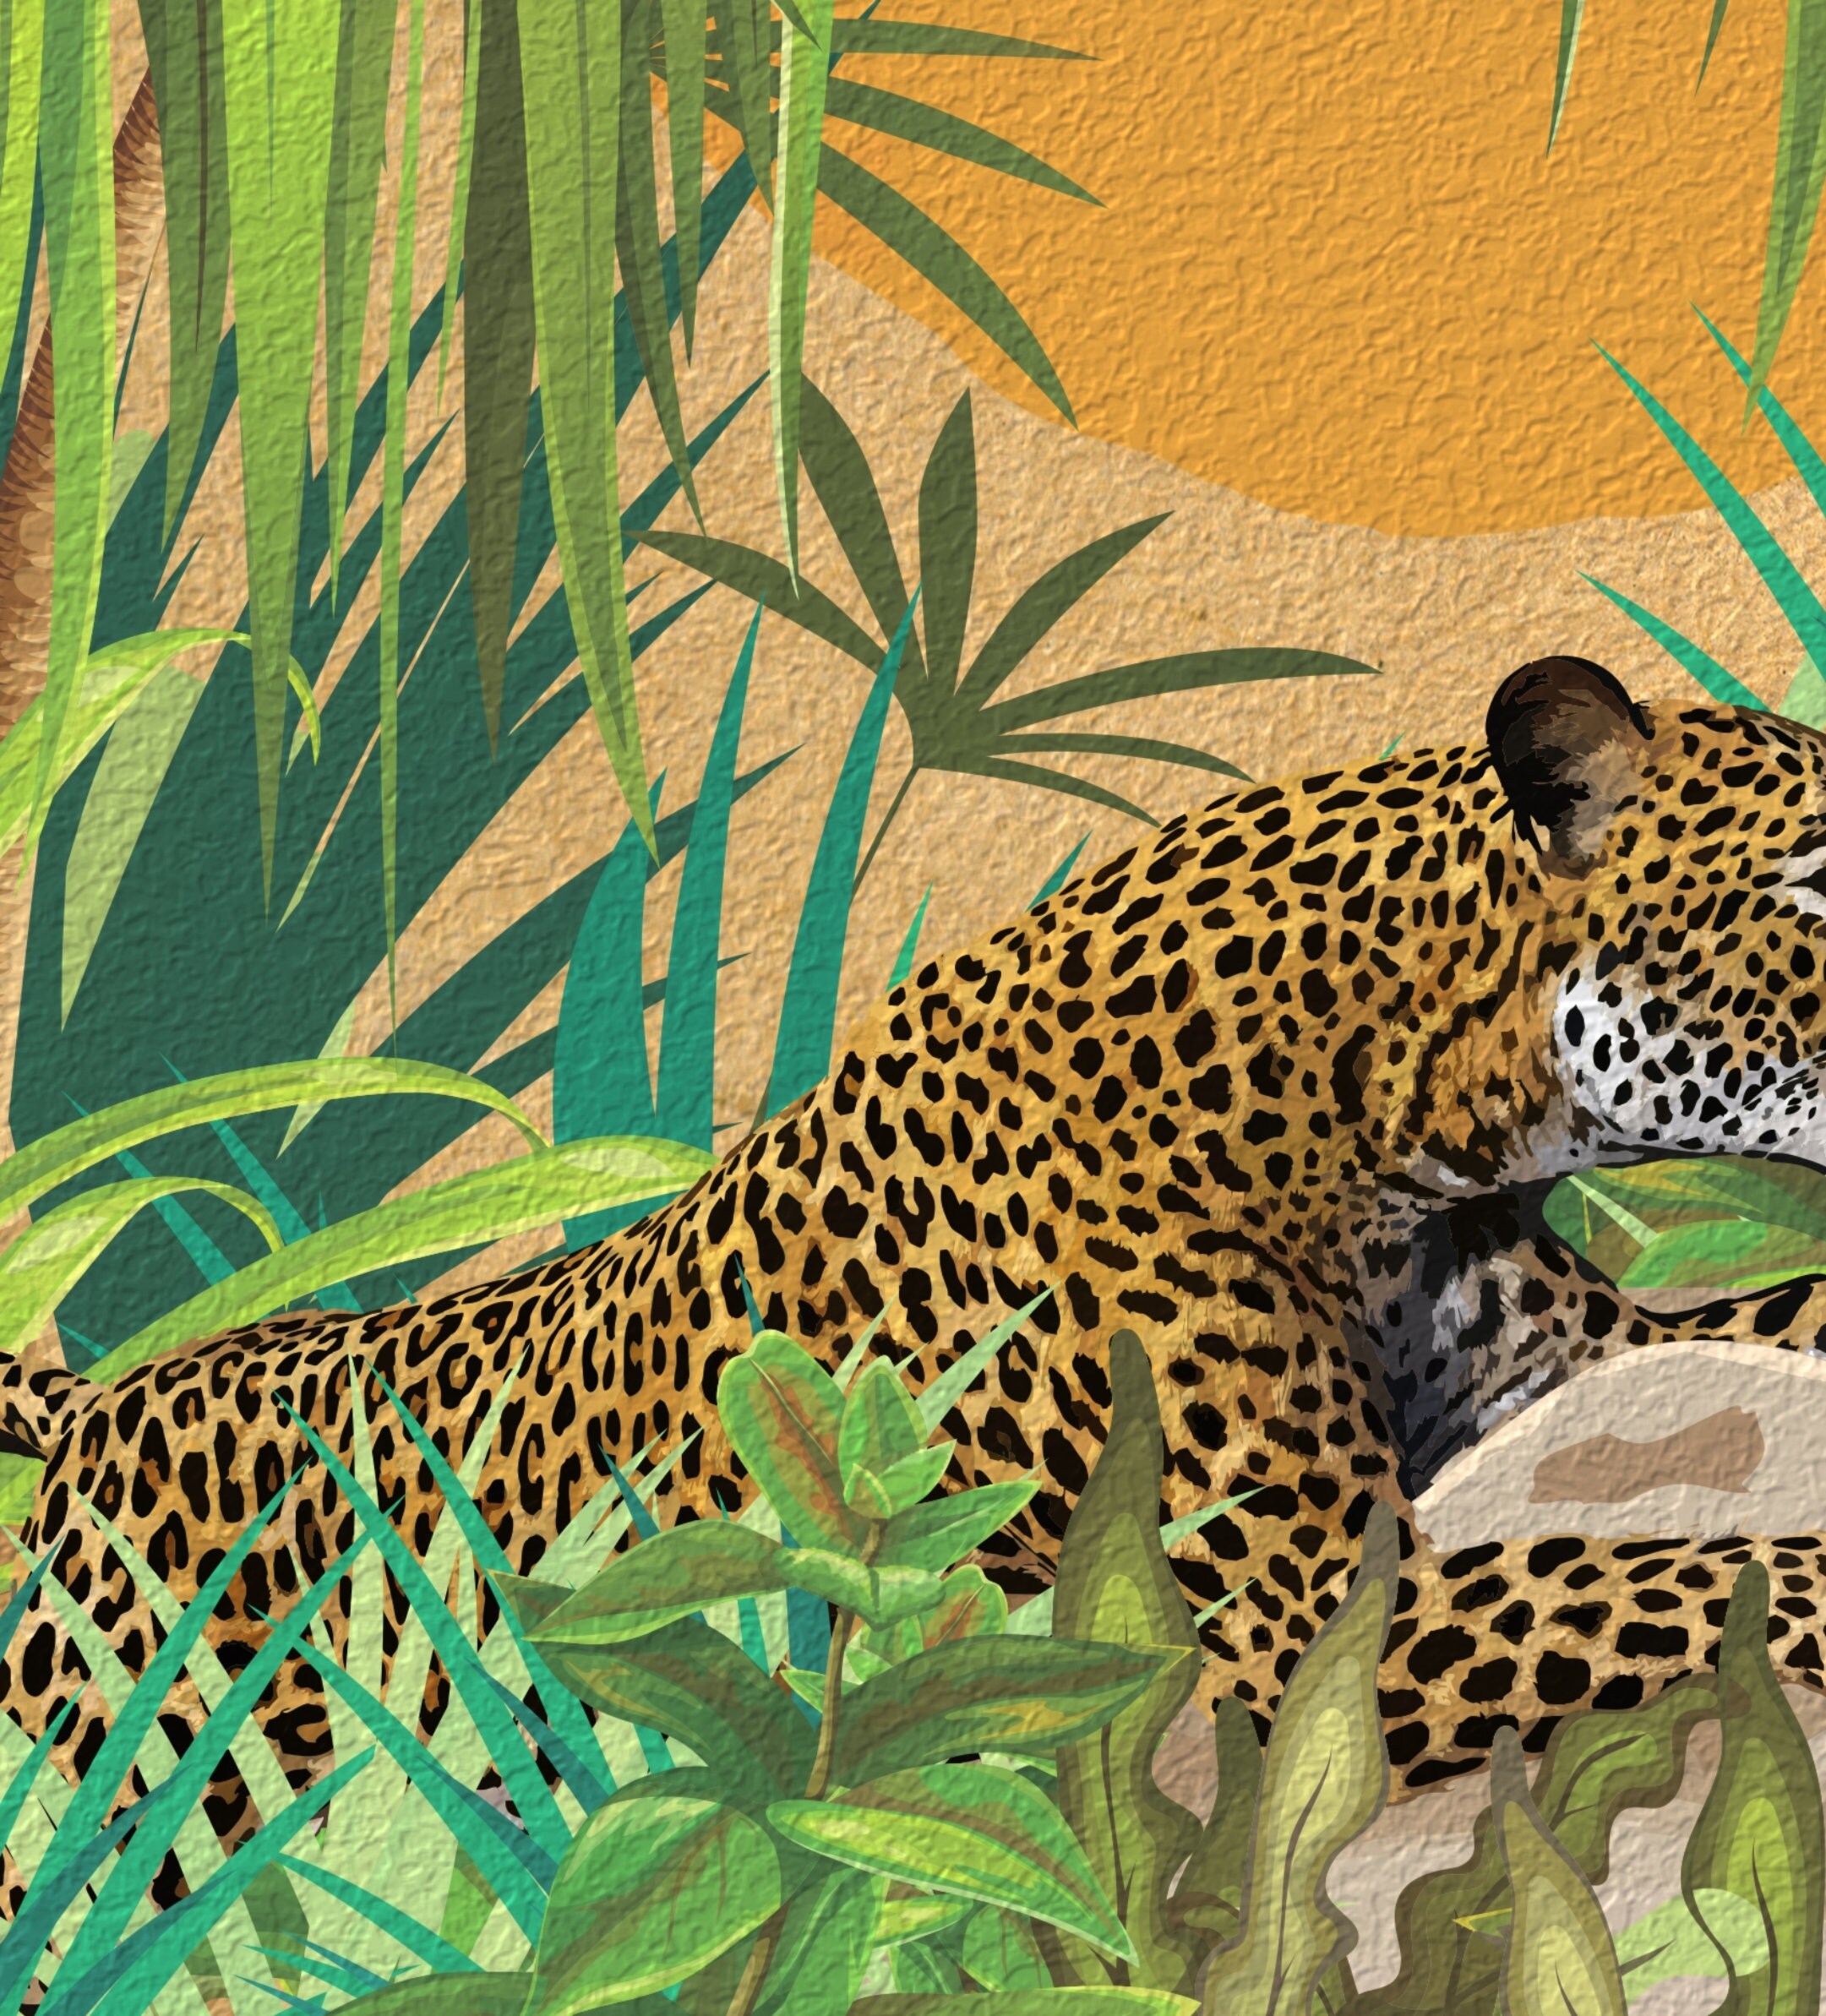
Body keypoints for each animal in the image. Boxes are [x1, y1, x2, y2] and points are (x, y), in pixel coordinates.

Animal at [5, 651, 1826, 1875]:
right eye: (1814, 882)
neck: (1394, 1122)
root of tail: (95, 1402)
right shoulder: (1316, 1621)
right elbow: (1685, 1573)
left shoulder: (1567, 1366)